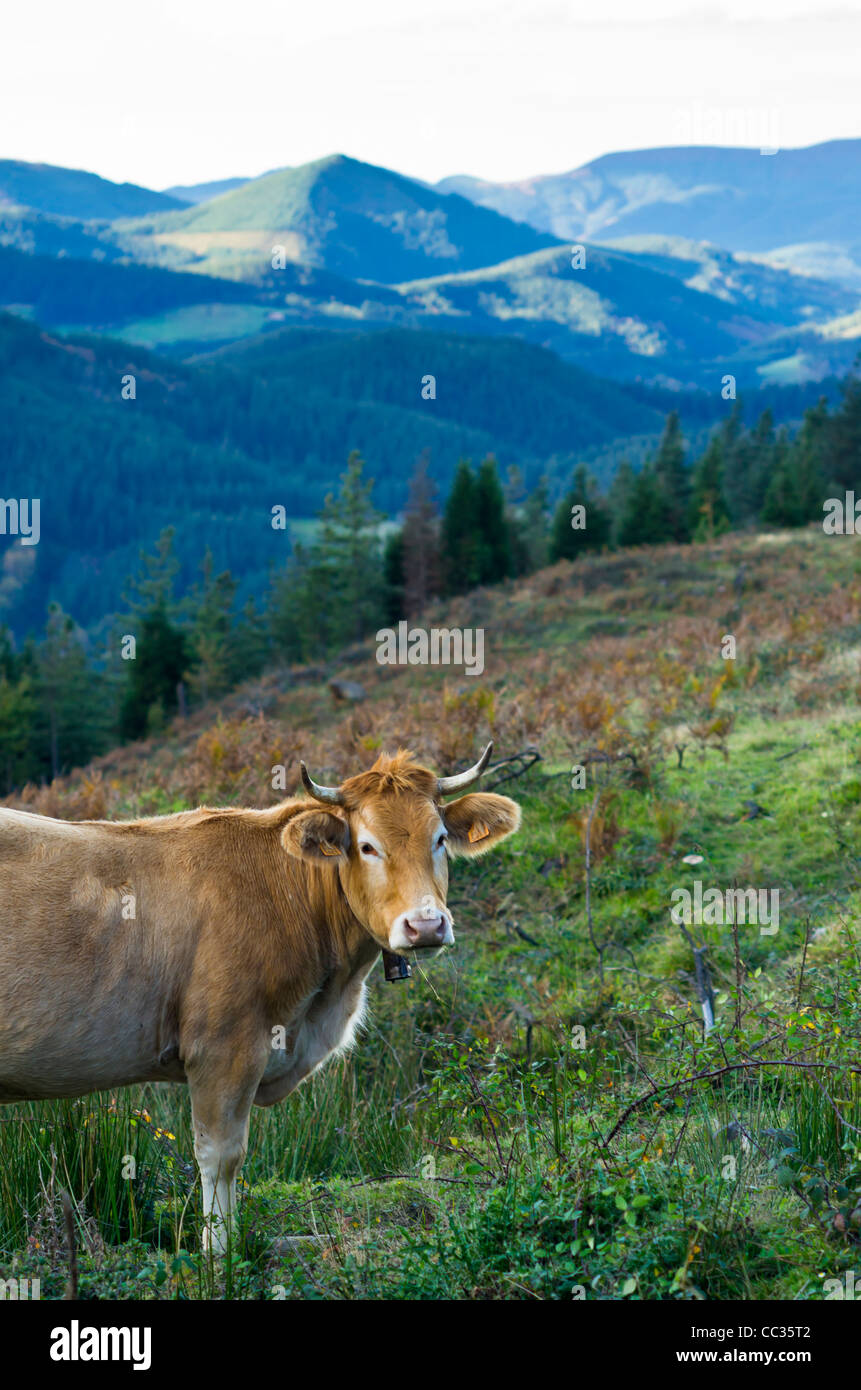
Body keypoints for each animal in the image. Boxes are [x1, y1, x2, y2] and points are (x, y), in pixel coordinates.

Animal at [0, 743, 521, 1252]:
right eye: (368, 846)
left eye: (439, 839)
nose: (426, 925)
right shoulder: (223, 1047)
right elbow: (221, 1157)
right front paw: (219, 1258)